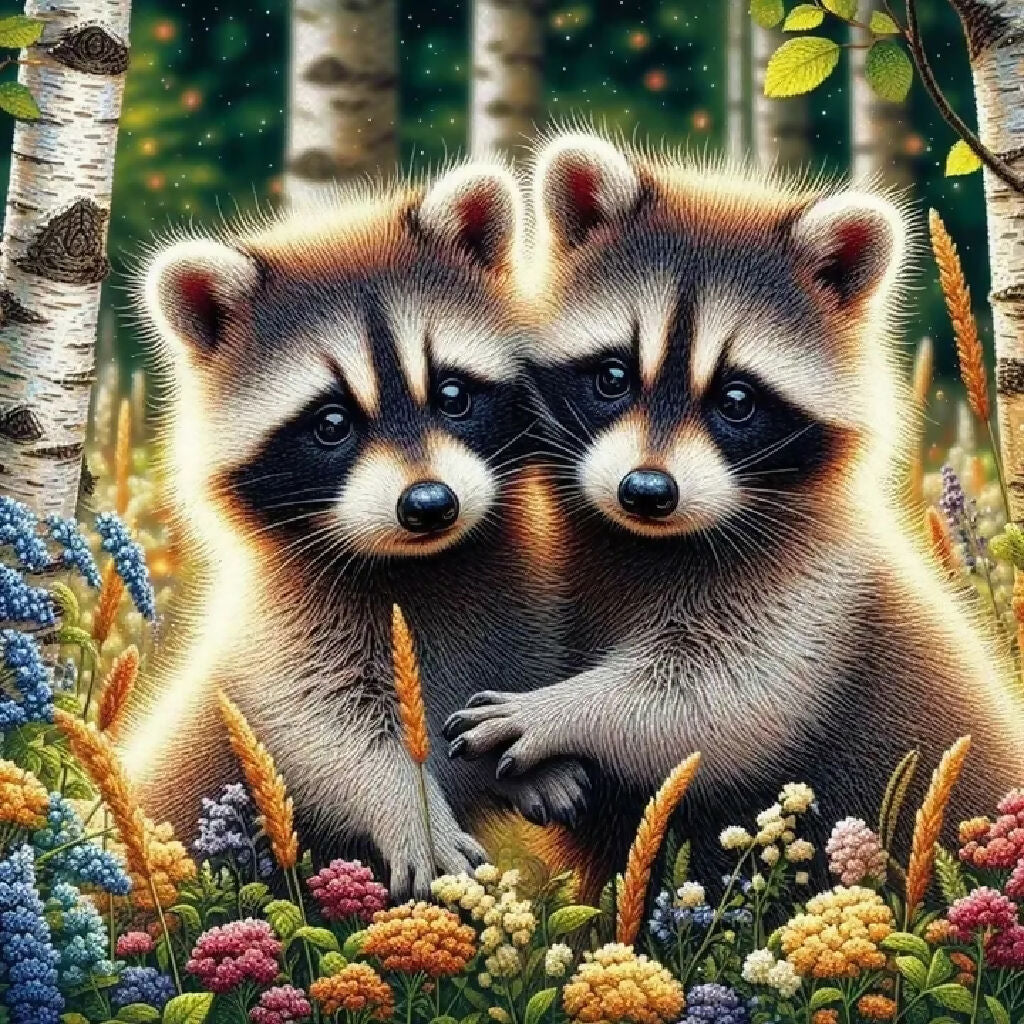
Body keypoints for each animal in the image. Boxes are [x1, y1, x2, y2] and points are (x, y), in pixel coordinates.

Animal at [123, 164, 589, 896]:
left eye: (452, 394)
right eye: (332, 423)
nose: (430, 504)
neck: (423, 563)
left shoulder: (528, 600)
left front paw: (531, 738)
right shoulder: (282, 650)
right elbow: (329, 737)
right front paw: (408, 807)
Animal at [445, 133, 1024, 886]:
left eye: (738, 400)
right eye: (613, 376)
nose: (646, 491)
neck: (646, 540)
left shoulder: (819, 598)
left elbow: (727, 698)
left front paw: (565, 710)